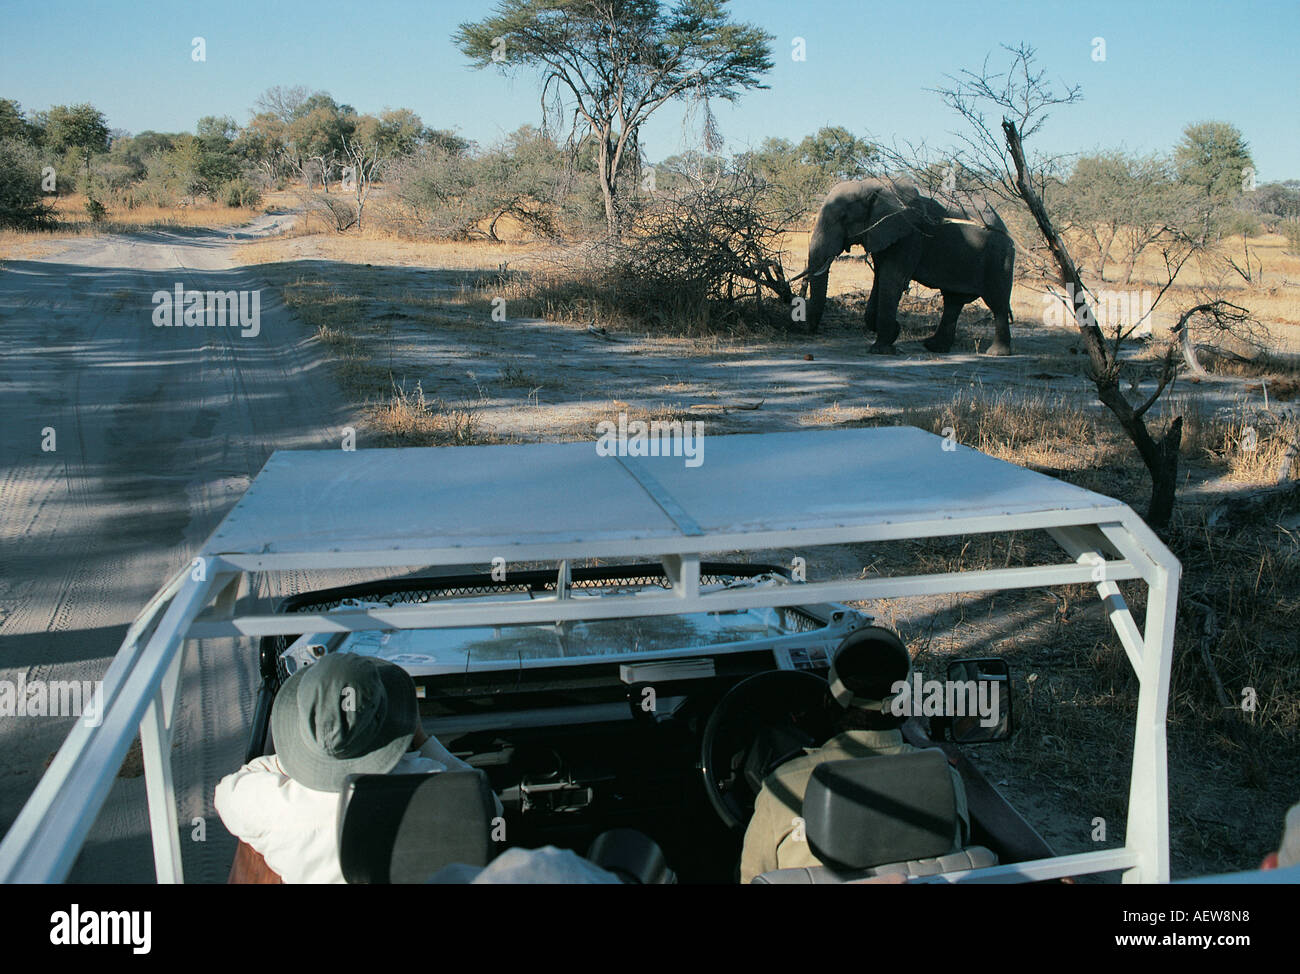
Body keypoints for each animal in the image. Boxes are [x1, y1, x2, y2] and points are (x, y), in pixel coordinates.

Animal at [797, 178, 1016, 355]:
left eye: (843, 218)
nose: (808, 329)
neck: (875, 185)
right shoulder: (883, 233)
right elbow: (880, 277)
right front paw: (893, 331)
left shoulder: (911, 234)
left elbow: (892, 278)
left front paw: (882, 349)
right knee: (953, 301)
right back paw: (933, 347)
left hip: (999, 256)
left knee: (997, 302)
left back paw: (996, 353)